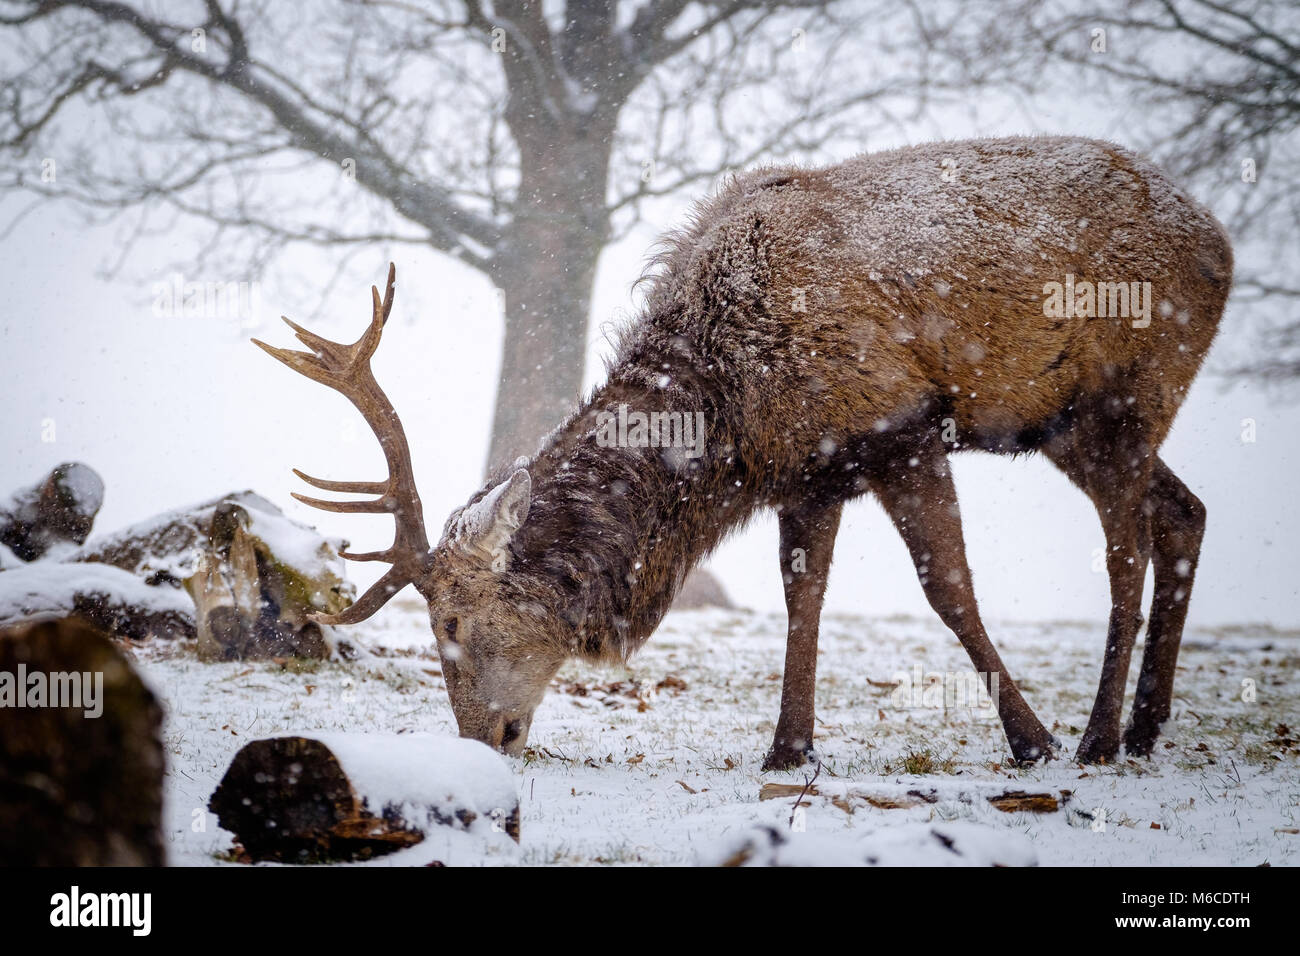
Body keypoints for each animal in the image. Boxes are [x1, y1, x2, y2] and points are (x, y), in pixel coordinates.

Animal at [255, 135, 1232, 770]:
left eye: (452, 625)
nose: (482, 743)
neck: (731, 413)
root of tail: (1219, 238)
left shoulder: (901, 425)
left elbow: (948, 589)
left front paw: (1029, 741)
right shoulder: (813, 469)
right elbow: (804, 596)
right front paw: (789, 748)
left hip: (1133, 391)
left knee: (1126, 548)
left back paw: (1098, 738)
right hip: (1068, 426)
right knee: (1185, 512)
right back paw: (1147, 726)